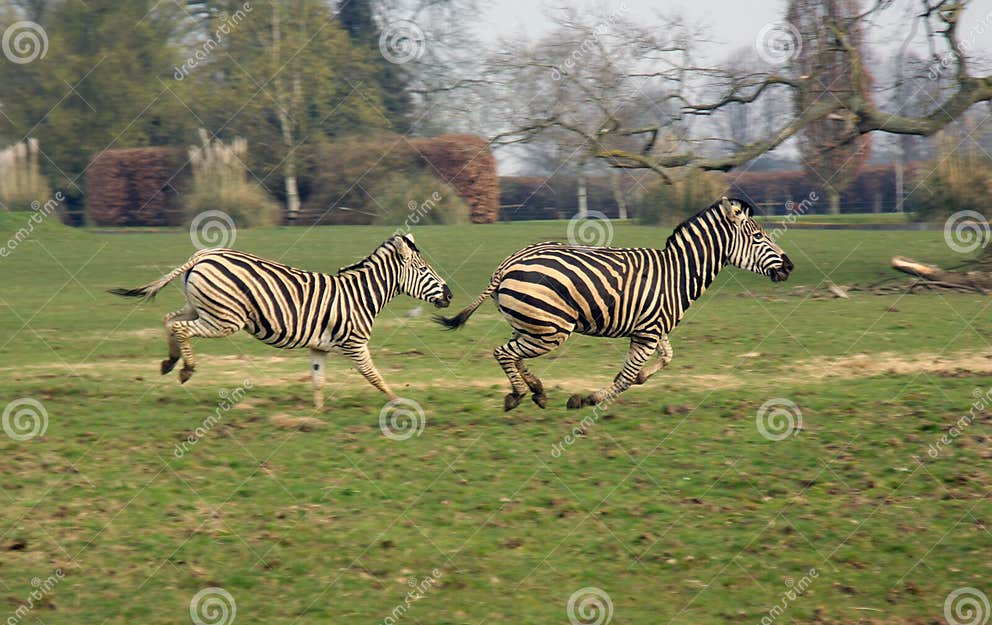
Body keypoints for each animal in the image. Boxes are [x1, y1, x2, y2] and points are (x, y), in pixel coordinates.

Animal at [111, 234, 451, 408]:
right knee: (181, 328)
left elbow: (318, 380)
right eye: (424, 270)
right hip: (224, 318)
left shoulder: (320, 347)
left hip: (202, 308)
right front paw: (399, 402)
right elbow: (374, 376)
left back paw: (169, 362)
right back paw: (186, 369)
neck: (360, 296)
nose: (449, 294)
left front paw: (317, 413)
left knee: (170, 319)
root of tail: (204, 254)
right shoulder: (355, 343)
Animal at [434, 197, 793, 411]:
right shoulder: (647, 333)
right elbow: (625, 377)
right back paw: (518, 394)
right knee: (503, 353)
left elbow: (664, 360)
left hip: (531, 325)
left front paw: (641, 378)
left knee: (513, 353)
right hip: (551, 330)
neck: (677, 273)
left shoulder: (653, 329)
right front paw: (587, 399)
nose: (789, 266)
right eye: (758, 237)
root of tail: (509, 262)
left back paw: (536, 389)